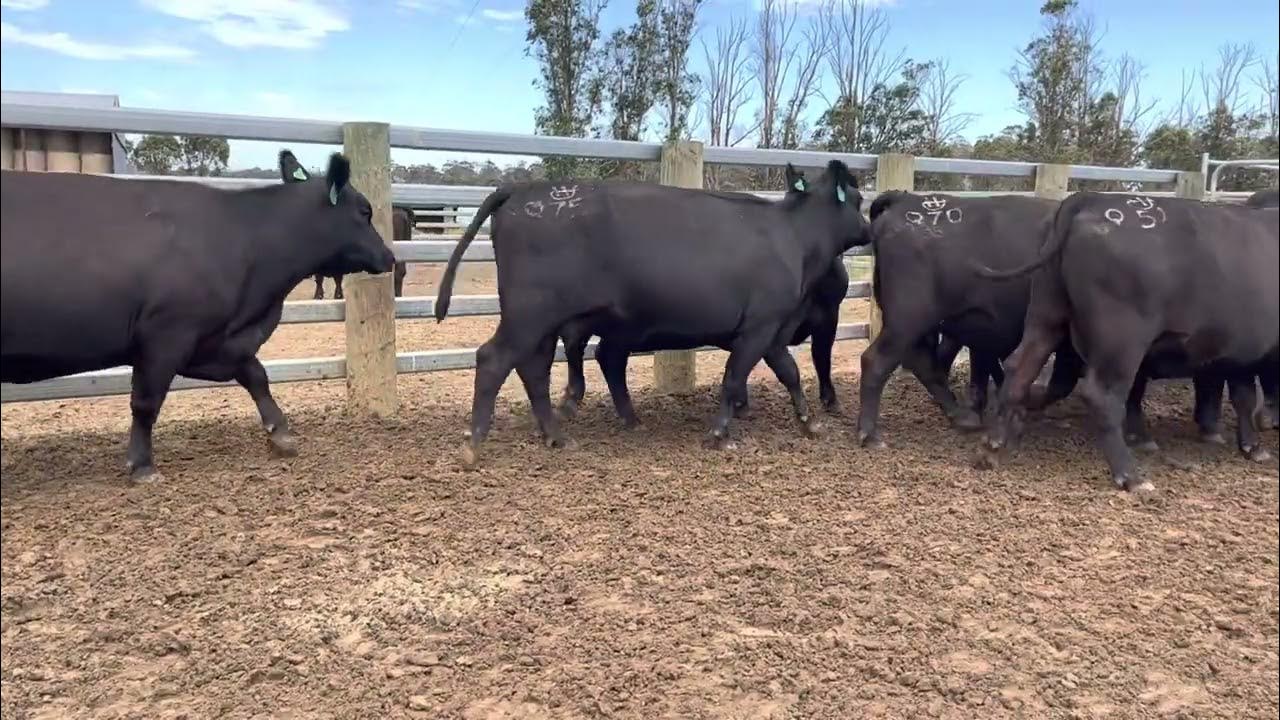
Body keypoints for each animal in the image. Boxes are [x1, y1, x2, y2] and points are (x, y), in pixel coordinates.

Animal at [0, 151, 396, 483]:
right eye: (365, 212)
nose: (389, 256)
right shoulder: (166, 335)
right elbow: (145, 402)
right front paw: (142, 465)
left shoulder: (215, 340)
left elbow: (256, 375)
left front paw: (281, 435)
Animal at [978, 192, 1278, 492]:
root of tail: (1092, 199)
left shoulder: (1243, 356)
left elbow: (1244, 397)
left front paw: (1252, 446)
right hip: (1122, 341)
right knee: (1102, 397)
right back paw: (1130, 475)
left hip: (1046, 315)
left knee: (1020, 368)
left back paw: (994, 447)